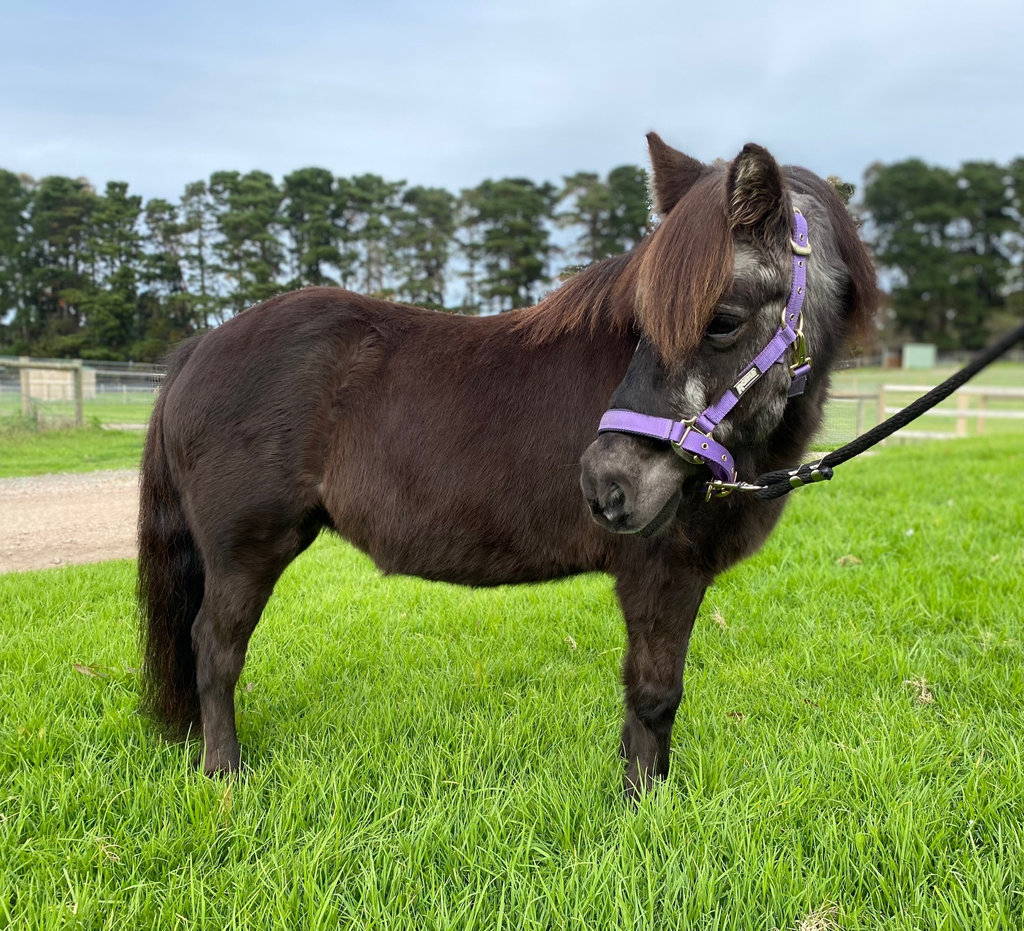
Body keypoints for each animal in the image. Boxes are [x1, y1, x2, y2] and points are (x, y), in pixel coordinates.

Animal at [138, 134, 877, 800]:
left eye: (721, 320)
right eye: (642, 323)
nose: (605, 483)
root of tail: (199, 349)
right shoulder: (660, 572)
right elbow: (653, 695)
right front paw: (644, 808)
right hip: (246, 550)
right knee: (215, 649)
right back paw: (224, 774)